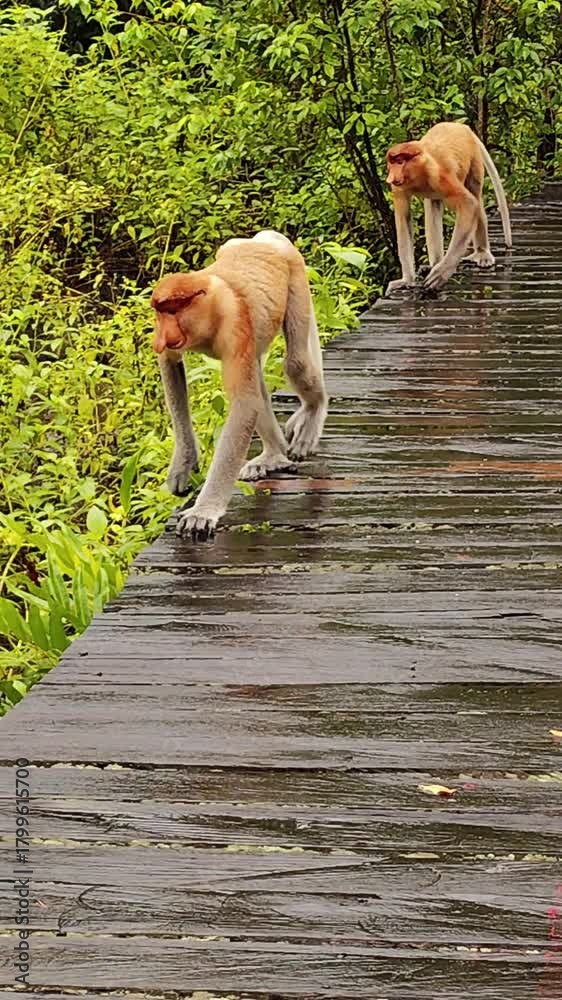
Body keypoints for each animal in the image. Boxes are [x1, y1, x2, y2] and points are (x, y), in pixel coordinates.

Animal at [151, 230, 329, 542]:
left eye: (172, 311)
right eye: (160, 314)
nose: (159, 338)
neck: (212, 301)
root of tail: (268, 239)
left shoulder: (235, 326)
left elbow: (244, 404)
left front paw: (202, 513)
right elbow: (170, 364)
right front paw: (184, 465)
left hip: (296, 278)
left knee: (295, 363)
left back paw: (311, 416)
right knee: (259, 385)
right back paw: (272, 456)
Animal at [385, 121, 512, 294]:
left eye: (400, 161)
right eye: (391, 162)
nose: (390, 177)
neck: (419, 172)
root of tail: (462, 126)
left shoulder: (439, 176)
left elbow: (468, 203)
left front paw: (441, 273)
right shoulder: (399, 188)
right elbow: (404, 222)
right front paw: (406, 281)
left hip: (474, 159)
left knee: (475, 196)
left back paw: (482, 254)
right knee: (433, 206)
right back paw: (434, 263)